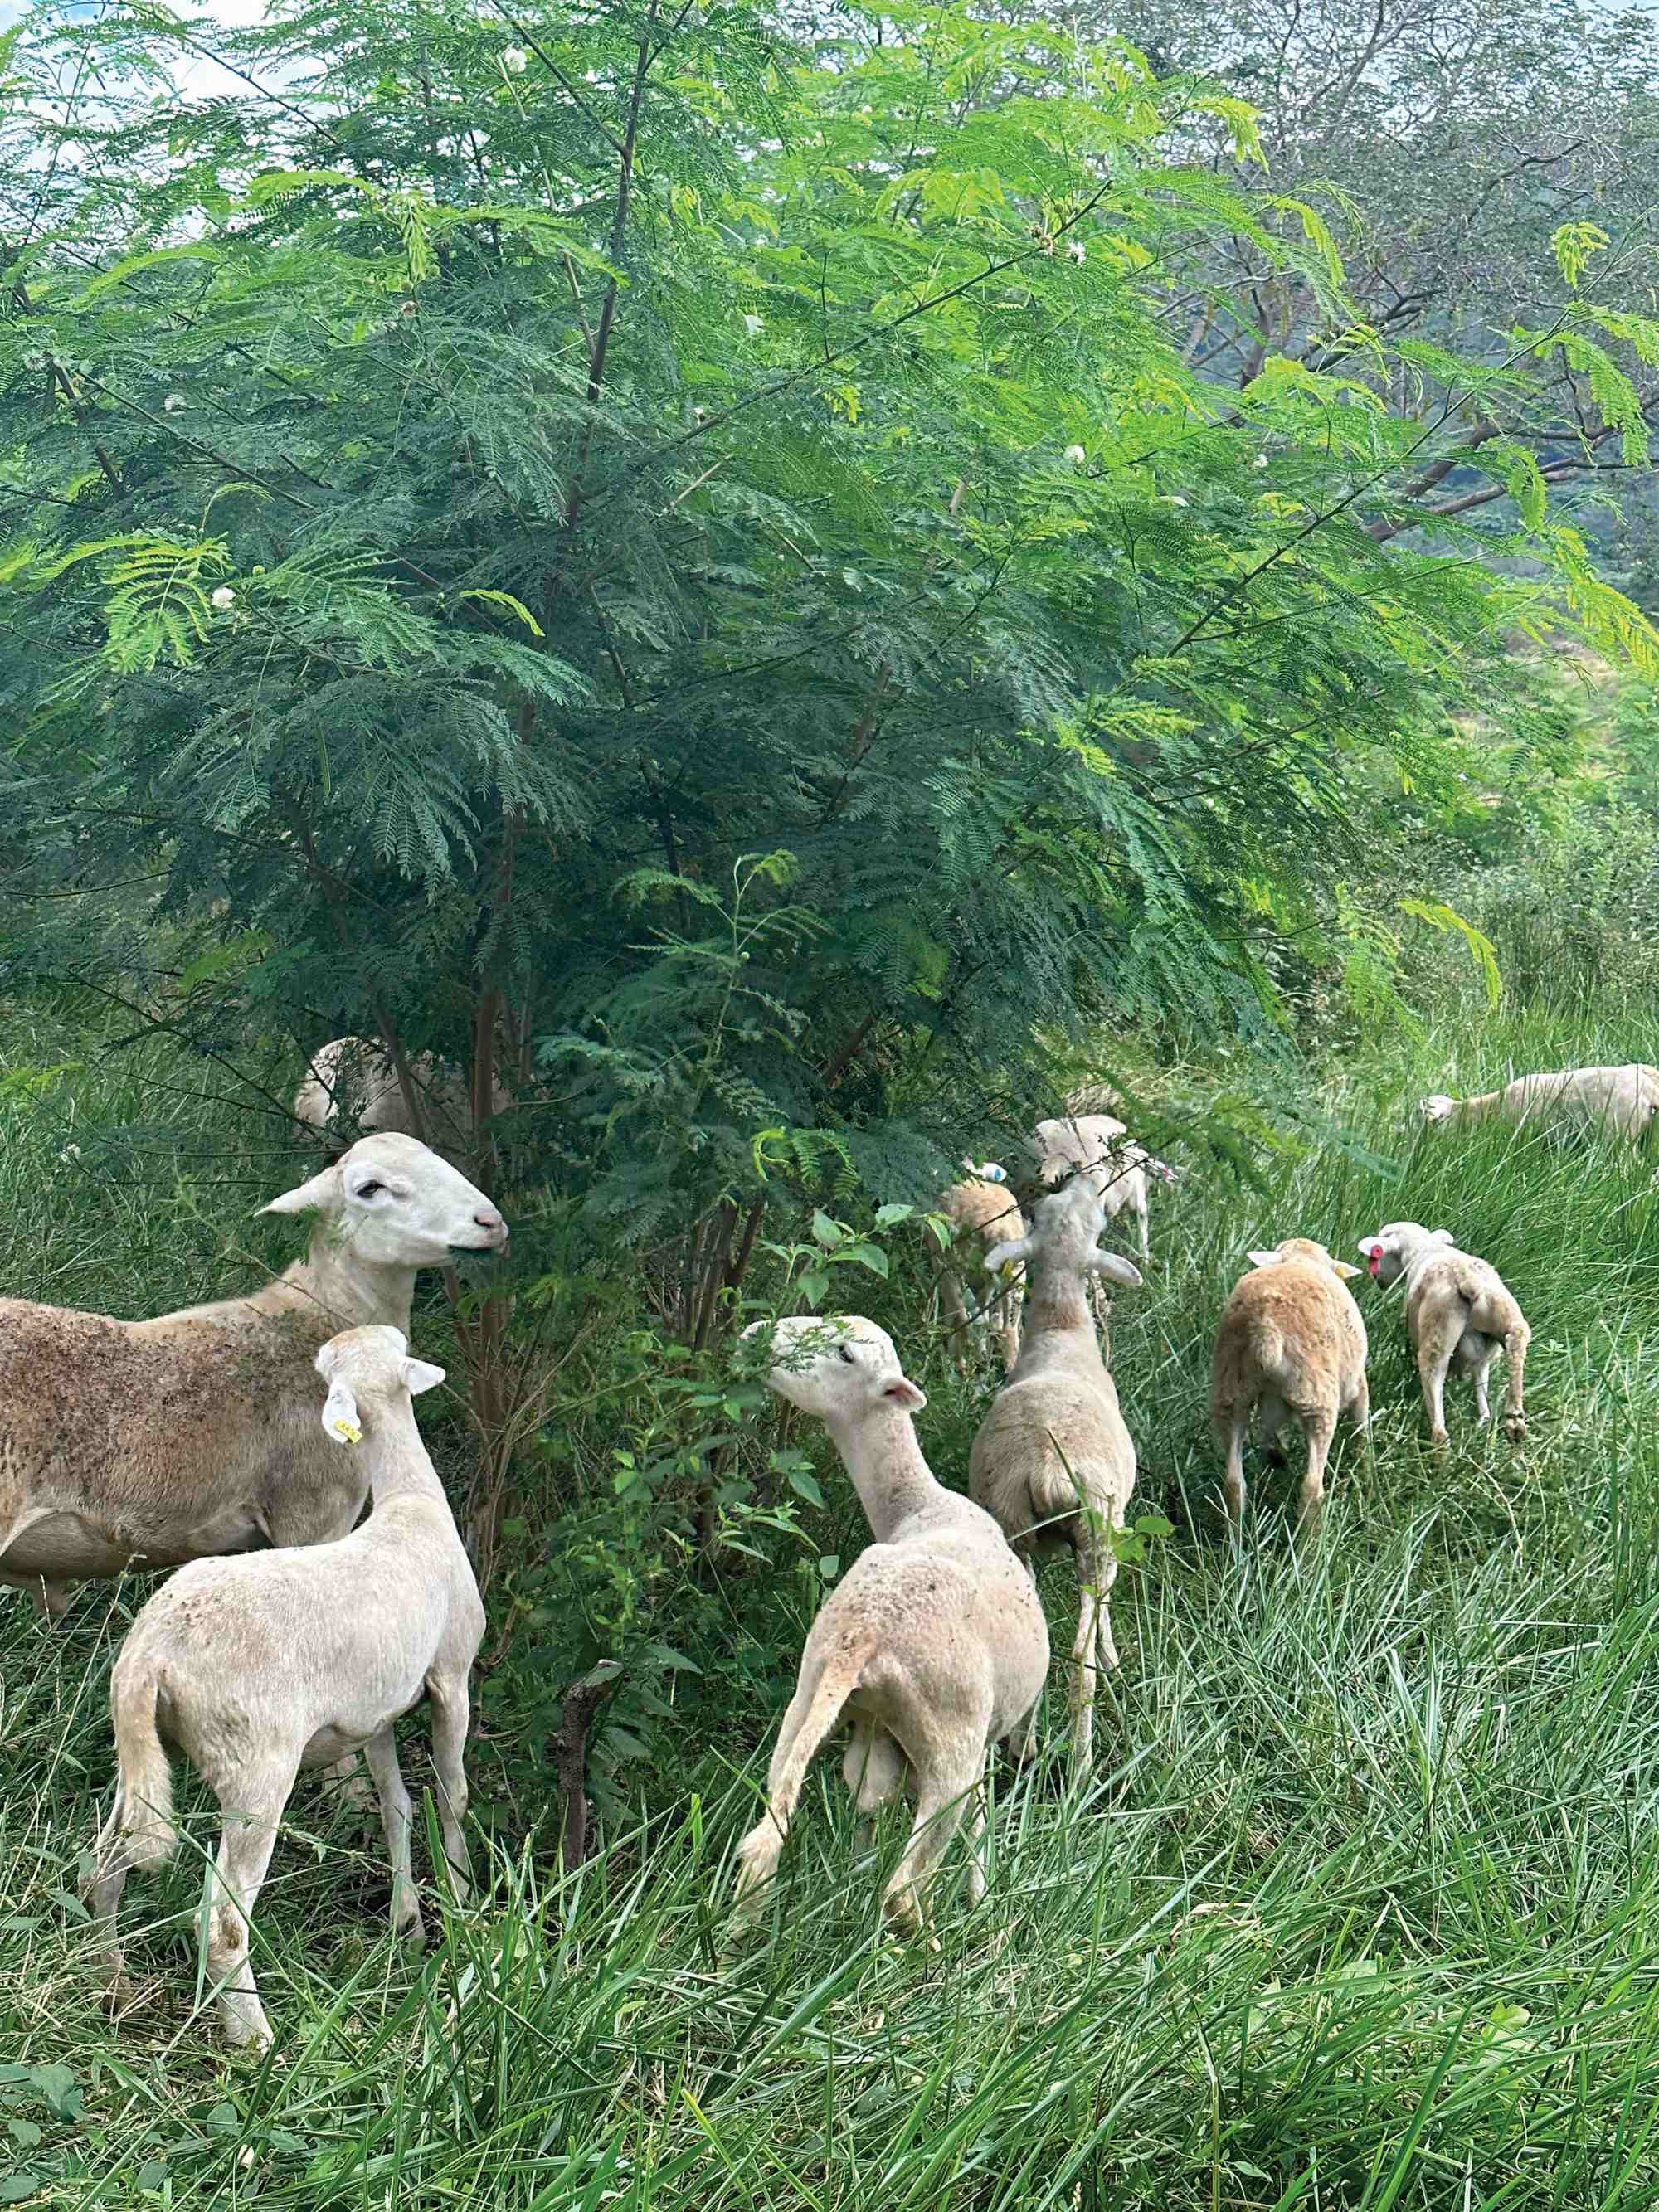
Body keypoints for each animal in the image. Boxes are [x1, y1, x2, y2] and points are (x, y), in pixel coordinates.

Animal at [82, 1324, 485, 2049]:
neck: (409, 1502)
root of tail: (151, 1652)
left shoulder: (374, 1715)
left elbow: (396, 1805)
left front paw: (407, 1921)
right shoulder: (452, 1675)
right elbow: (452, 1793)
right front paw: (463, 1905)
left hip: (144, 1754)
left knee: (103, 1861)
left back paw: (114, 1981)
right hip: (255, 1767)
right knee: (222, 1920)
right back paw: (257, 2040)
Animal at [732, 1315, 1049, 1934]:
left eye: (845, 1353)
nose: (754, 1334)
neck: (917, 1504)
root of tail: (864, 1634)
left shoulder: (875, 1732)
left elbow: (868, 1806)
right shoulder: (981, 1739)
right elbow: (979, 1827)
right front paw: (984, 1909)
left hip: (805, 1697)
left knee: (765, 1840)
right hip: (950, 1742)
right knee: (903, 1888)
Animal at [967, 1178, 1144, 1776]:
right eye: (1095, 1221)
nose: (1082, 1182)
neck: (1062, 1329)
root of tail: (1048, 1470)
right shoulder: (1114, 1531)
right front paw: (1115, 1658)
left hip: (1010, 1533)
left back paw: (1023, 1746)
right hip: (1096, 1531)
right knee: (1076, 1654)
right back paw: (1083, 1761)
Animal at [1210, 1239, 1369, 1534]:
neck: (1302, 1257)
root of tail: (1266, 1324)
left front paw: (1277, 1456)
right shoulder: (1357, 1384)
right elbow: (1363, 1429)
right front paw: (1368, 1474)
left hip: (1231, 1391)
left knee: (1234, 1482)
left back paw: (1234, 1540)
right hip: (1318, 1397)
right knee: (1312, 1487)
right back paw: (1310, 1543)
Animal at [1357, 1221, 1530, 1450]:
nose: (1377, 1279)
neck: (1423, 1248)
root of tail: (1468, 1280)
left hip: (1438, 1333)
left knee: (1440, 1429)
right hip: (1504, 1312)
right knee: (1515, 1341)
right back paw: (1513, 1420)